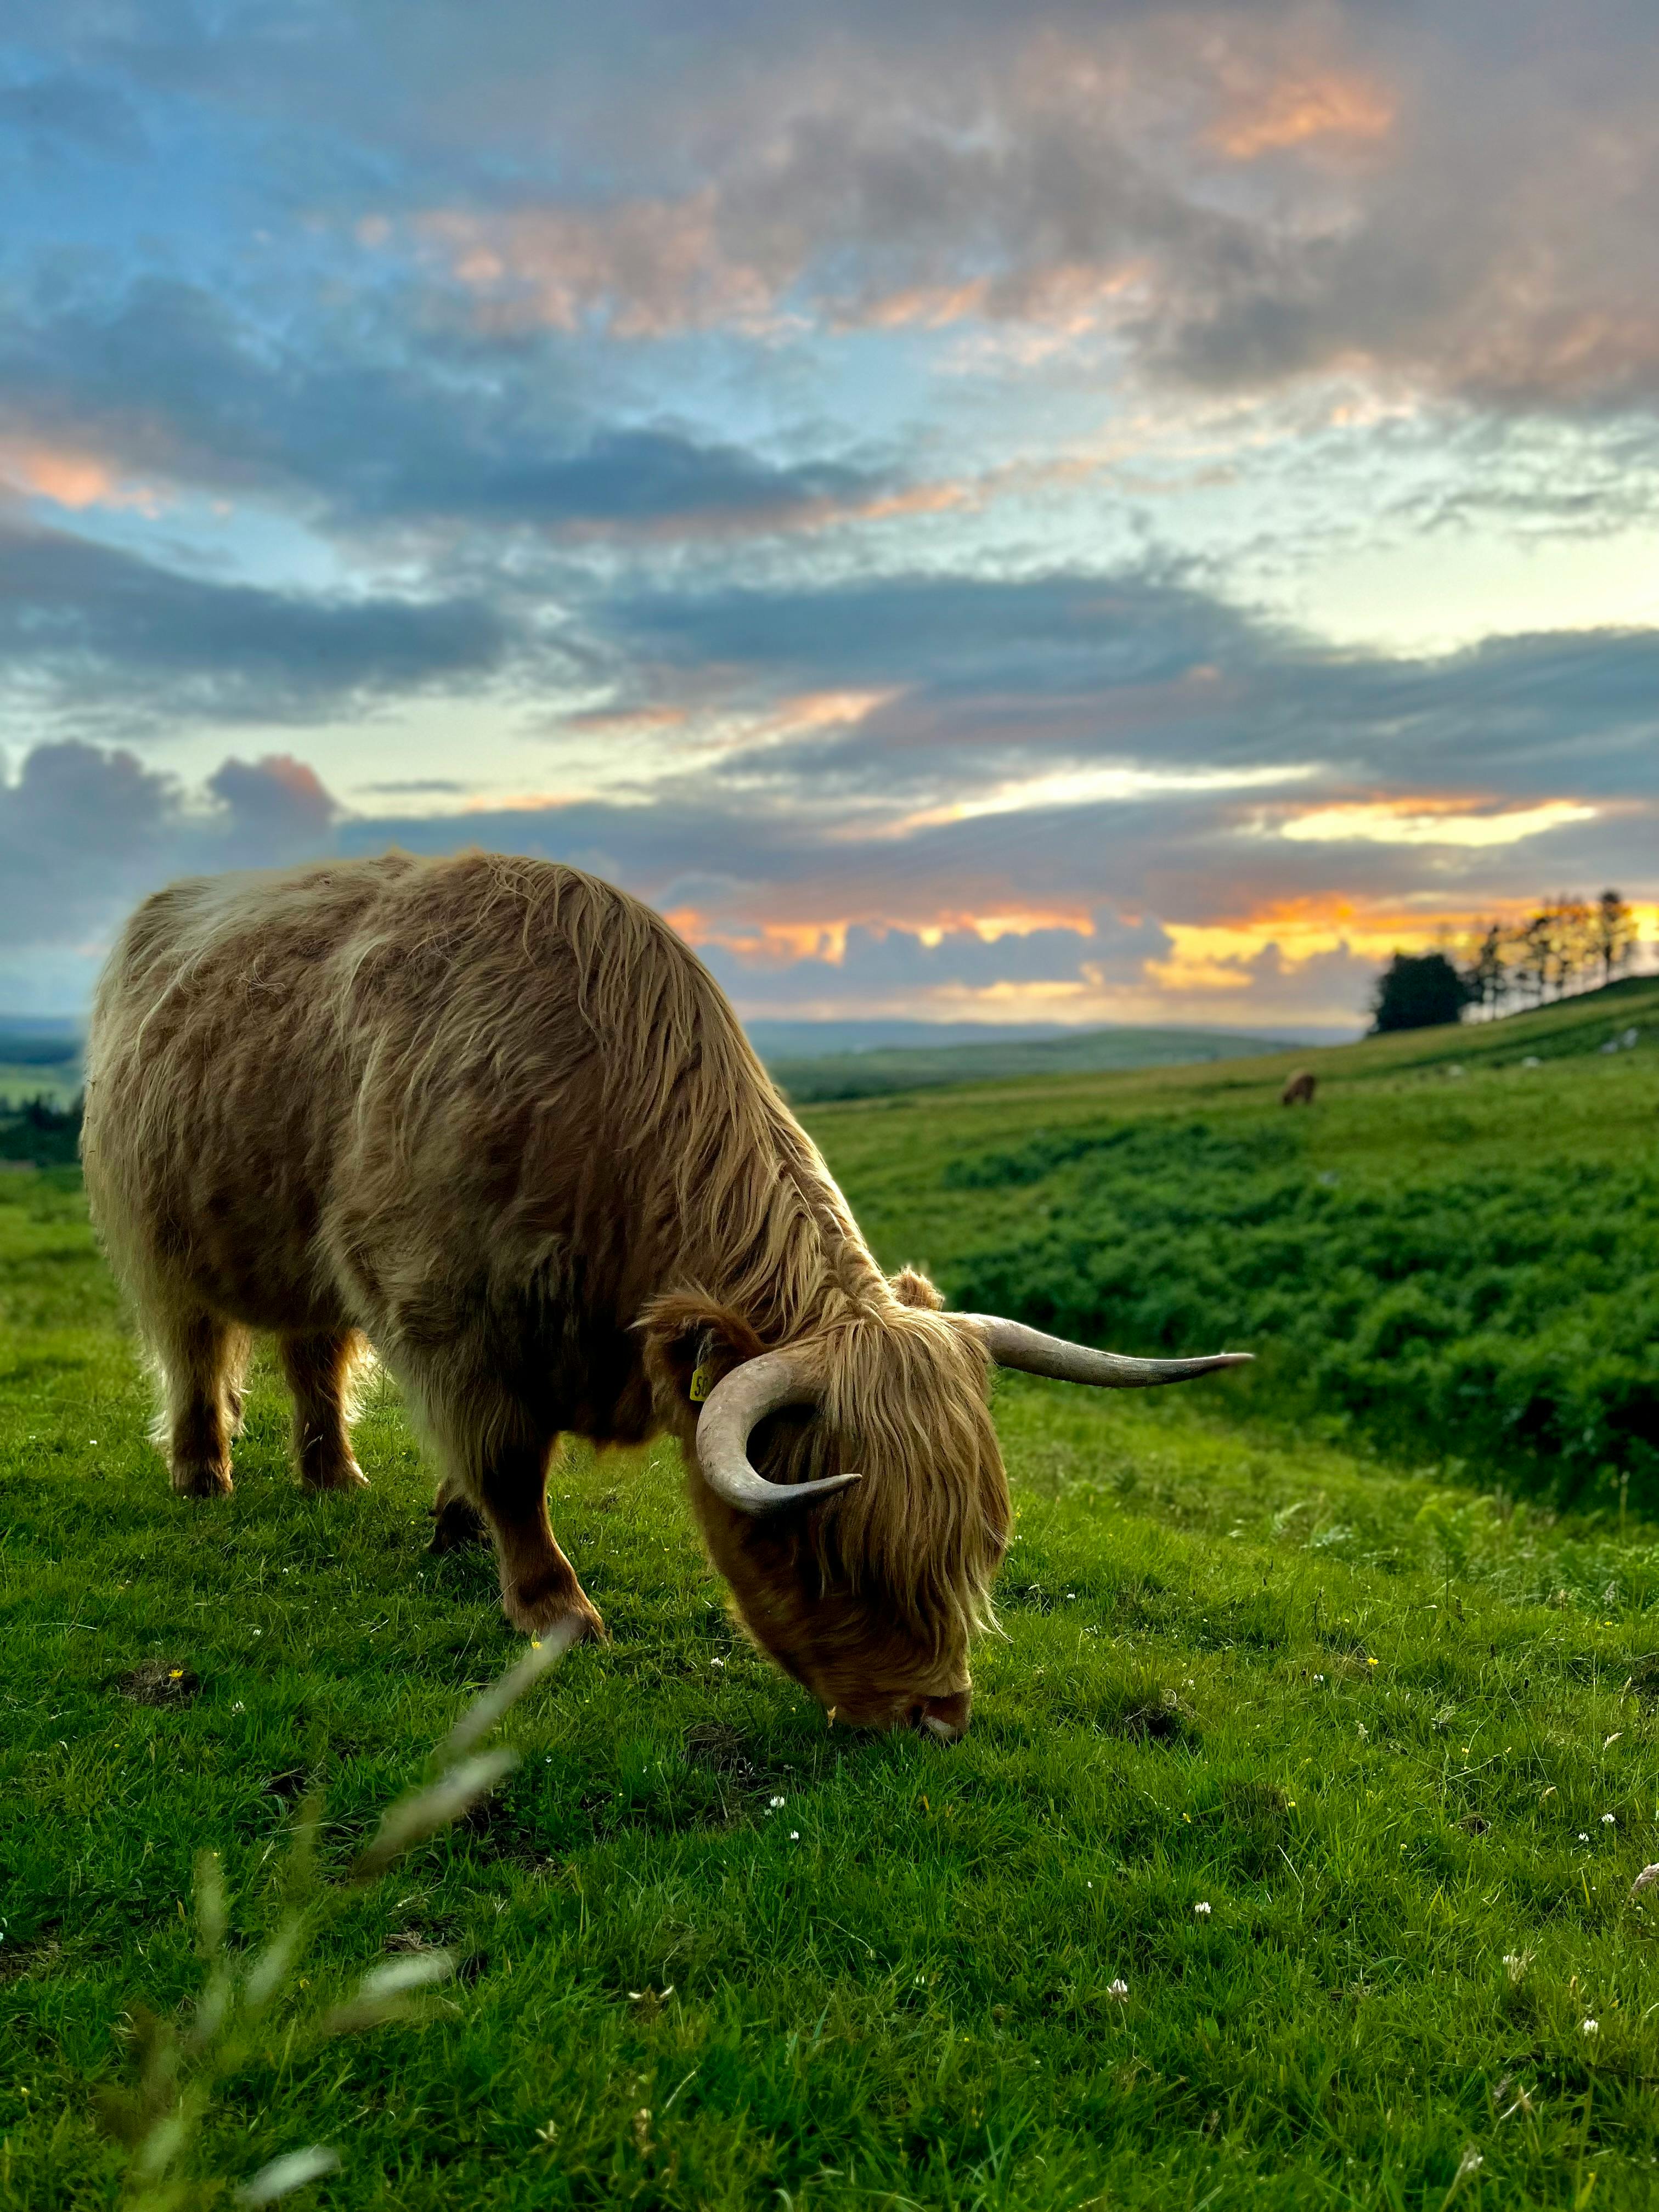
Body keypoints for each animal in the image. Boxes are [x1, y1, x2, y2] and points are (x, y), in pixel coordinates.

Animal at [82, 852, 1248, 1738]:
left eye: (981, 1544)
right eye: (826, 1550)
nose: (937, 1718)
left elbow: (484, 1466)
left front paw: (453, 1528)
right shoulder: (446, 1315)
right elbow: (510, 1465)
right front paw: (552, 1605)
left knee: (313, 1353)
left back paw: (334, 1477)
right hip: (160, 1234)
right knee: (197, 1353)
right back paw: (203, 1475)